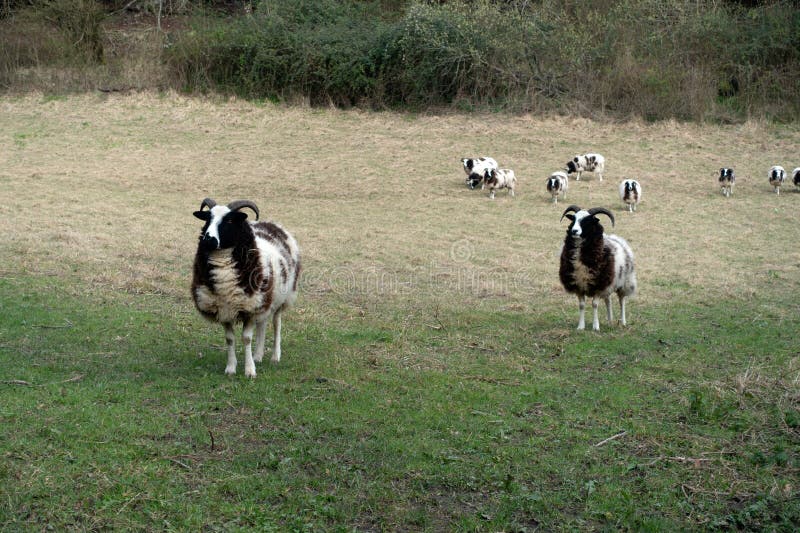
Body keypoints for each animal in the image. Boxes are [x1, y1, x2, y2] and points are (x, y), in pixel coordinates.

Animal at [192, 198, 301, 378]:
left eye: (229, 220)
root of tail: (272, 224)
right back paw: (258, 355)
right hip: (265, 300)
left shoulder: (250, 307)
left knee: (276, 324)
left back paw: (275, 356)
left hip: (281, 297)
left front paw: (249, 371)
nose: (208, 239)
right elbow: (230, 339)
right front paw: (231, 368)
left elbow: (246, 338)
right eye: (207, 219)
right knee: (262, 324)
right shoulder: (225, 309)